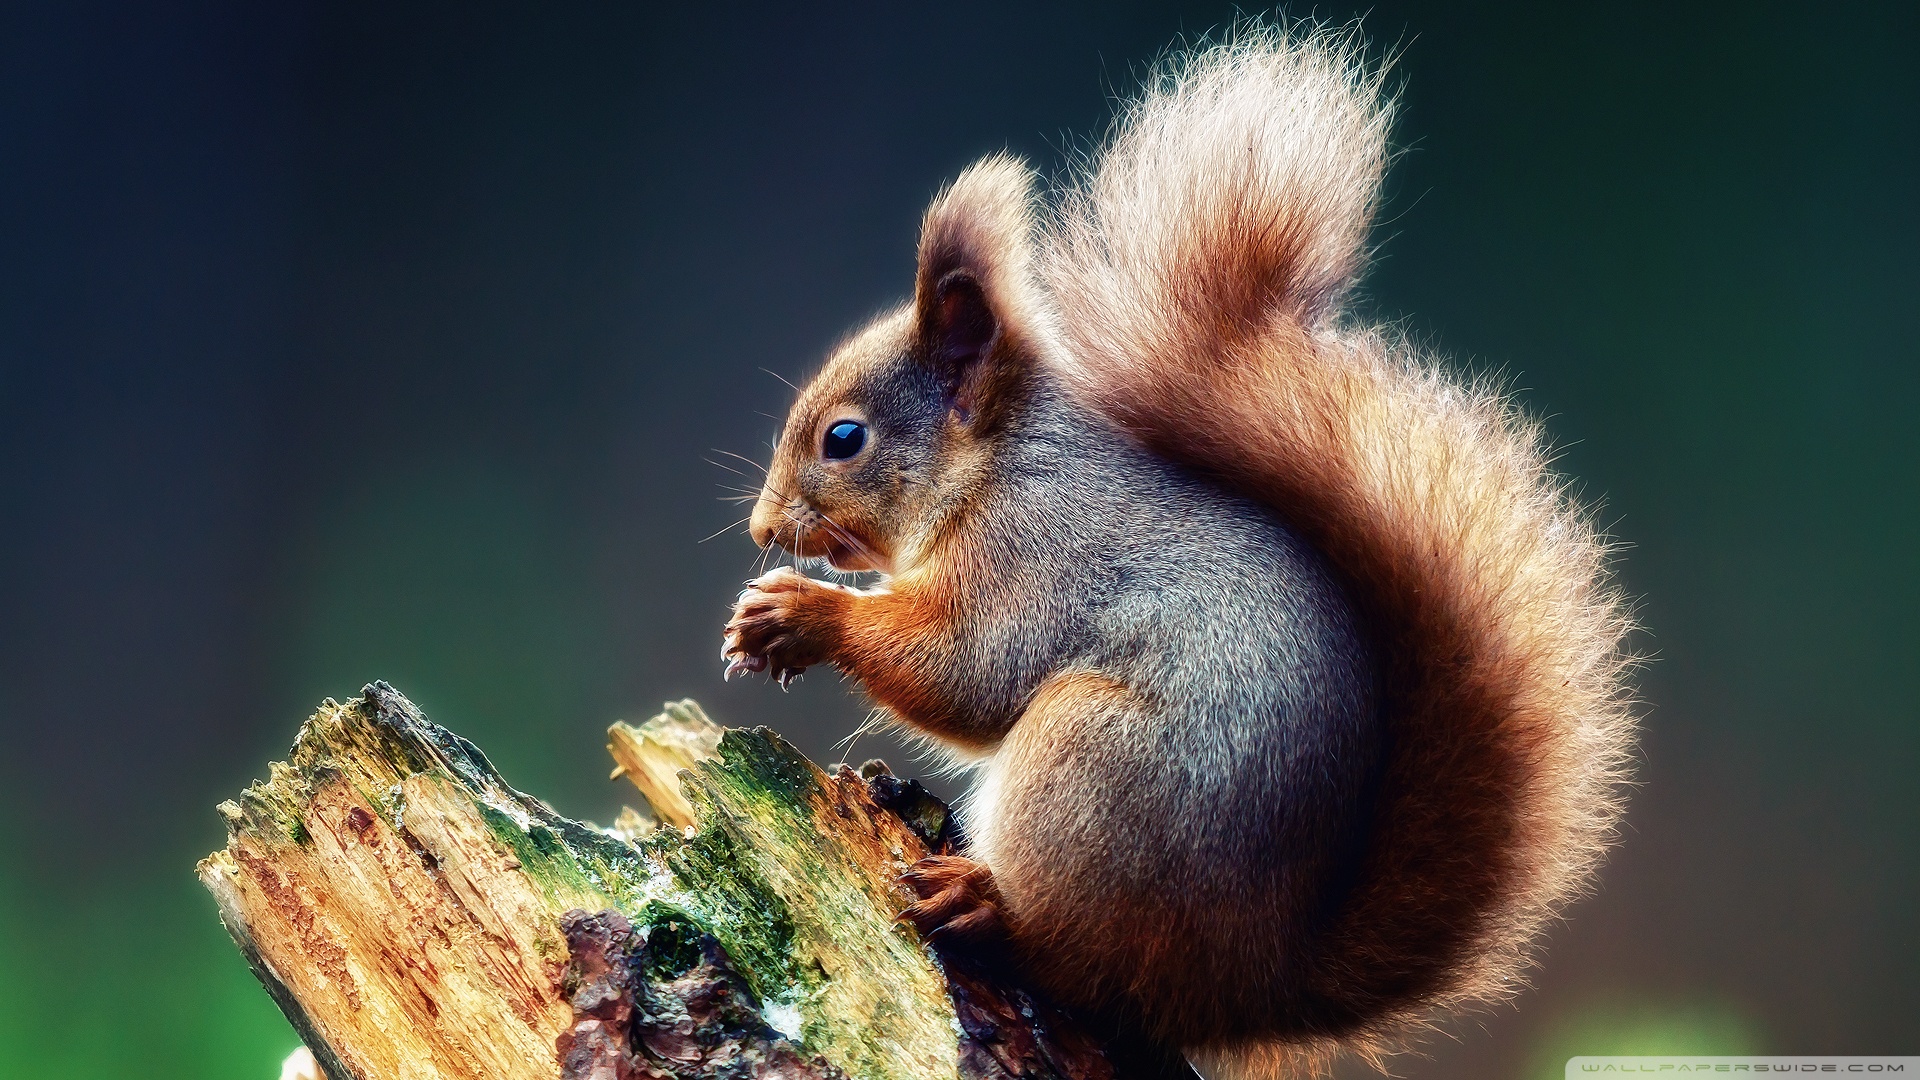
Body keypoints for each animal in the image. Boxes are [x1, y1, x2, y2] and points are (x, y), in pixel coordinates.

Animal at [719, 23, 1635, 1080]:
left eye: (844, 438)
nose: (762, 529)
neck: (996, 466)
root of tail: (1251, 987)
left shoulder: (1037, 552)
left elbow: (971, 670)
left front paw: (797, 613)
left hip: (1094, 763)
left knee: (1082, 962)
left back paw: (983, 907)